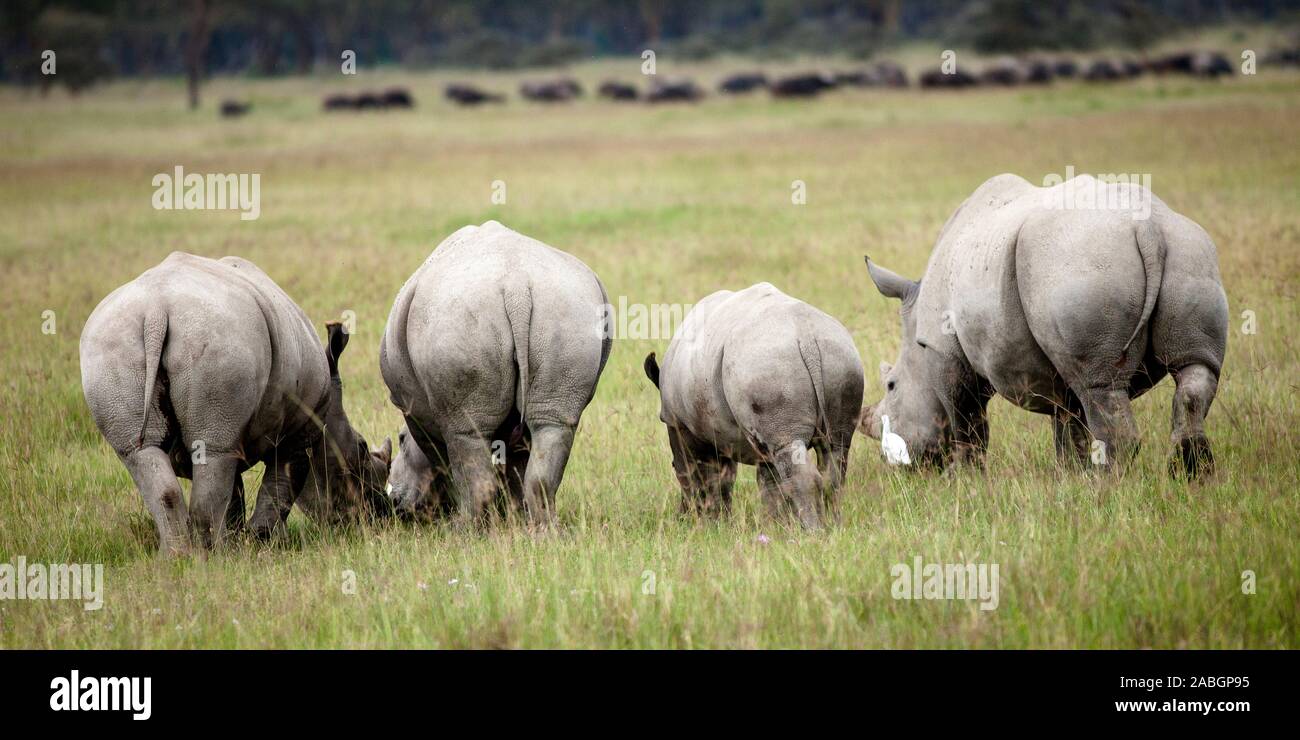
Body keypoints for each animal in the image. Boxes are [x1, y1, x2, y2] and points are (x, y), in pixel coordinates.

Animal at [79, 252, 392, 555]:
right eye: (362, 447)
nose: (381, 512)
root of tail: (156, 310)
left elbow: (232, 493)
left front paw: (242, 540)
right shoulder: (300, 431)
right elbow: (279, 486)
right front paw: (262, 542)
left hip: (112, 350)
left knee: (142, 453)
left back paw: (180, 558)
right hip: (215, 340)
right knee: (209, 453)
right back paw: (214, 556)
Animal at [381, 221, 611, 525]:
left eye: (401, 440)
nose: (395, 503)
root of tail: (516, 288)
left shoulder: (413, 411)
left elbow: (441, 459)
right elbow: (516, 463)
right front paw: (515, 516)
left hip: (457, 321)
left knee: (466, 434)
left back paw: (463, 529)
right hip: (567, 315)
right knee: (552, 424)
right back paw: (545, 529)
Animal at [643, 283, 864, 529]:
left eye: (672, 466)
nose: (683, 516)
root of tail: (807, 338)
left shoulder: (681, 426)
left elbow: (702, 474)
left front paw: (715, 523)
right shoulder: (748, 434)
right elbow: (764, 481)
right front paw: (773, 525)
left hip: (768, 368)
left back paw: (813, 531)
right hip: (840, 361)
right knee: (835, 451)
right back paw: (834, 526)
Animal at [859, 174, 1228, 478]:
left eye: (891, 385)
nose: (899, 467)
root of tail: (1148, 228)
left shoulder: (944, 350)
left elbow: (967, 419)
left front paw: (963, 478)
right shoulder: (1055, 366)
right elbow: (1067, 421)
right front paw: (1068, 474)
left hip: (1079, 265)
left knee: (1099, 384)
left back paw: (1106, 483)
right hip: (1190, 255)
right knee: (1194, 370)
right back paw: (1191, 474)